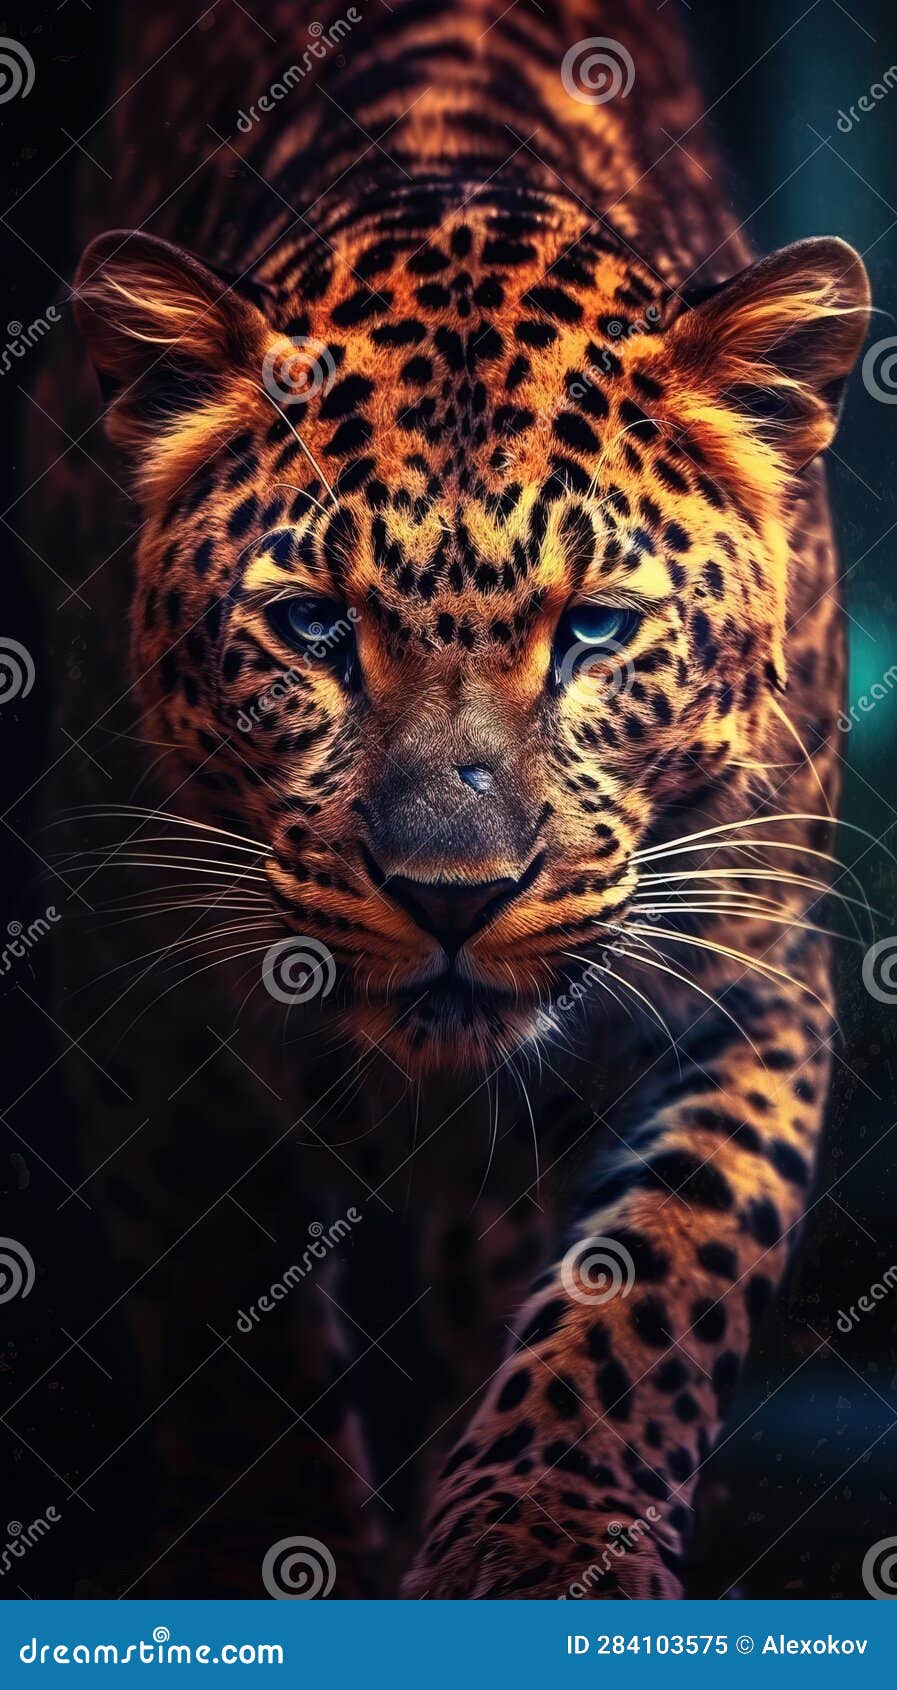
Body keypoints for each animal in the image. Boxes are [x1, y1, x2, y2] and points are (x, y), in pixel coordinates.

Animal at [19, 0, 869, 1600]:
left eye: (594, 629)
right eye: (312, 628)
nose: (451, 897)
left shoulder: (752, 977)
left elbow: (653, 1273)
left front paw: (546, 1545)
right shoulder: (141, 998)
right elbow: (223, 1315)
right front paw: (265, 1536)